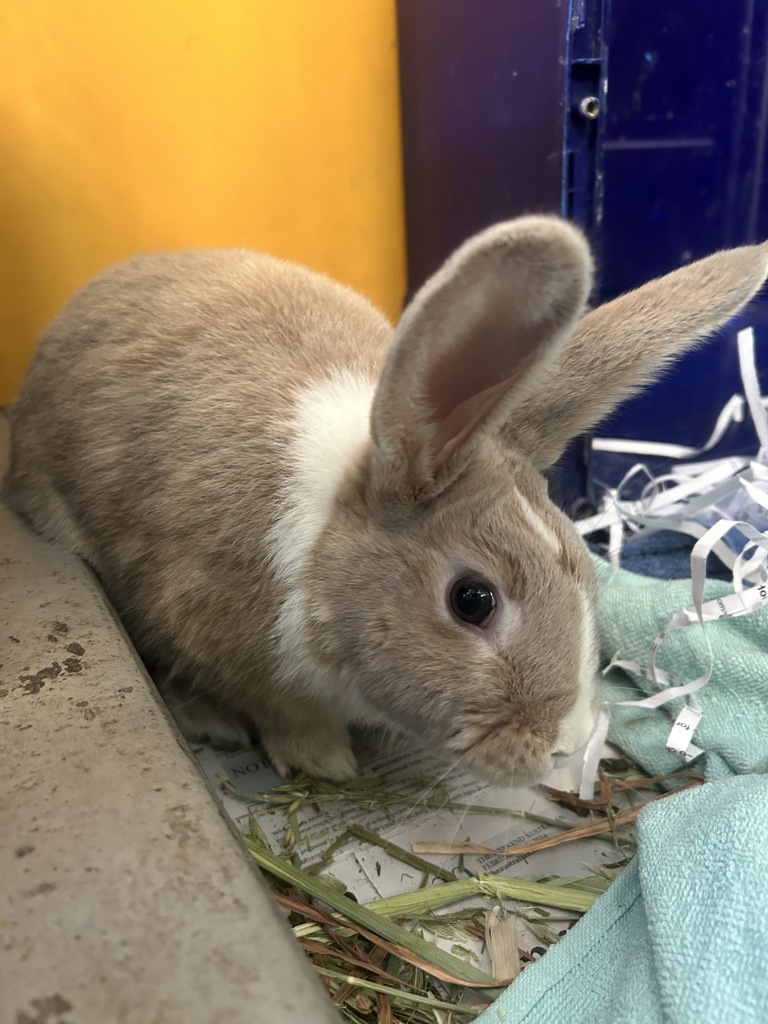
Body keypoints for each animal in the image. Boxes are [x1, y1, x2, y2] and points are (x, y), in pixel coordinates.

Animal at [4, 217, 767, 786]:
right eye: (472, 600)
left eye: (583, 567)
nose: (562, 745)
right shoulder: (219, 636)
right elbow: (285, 714)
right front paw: (327, 762)